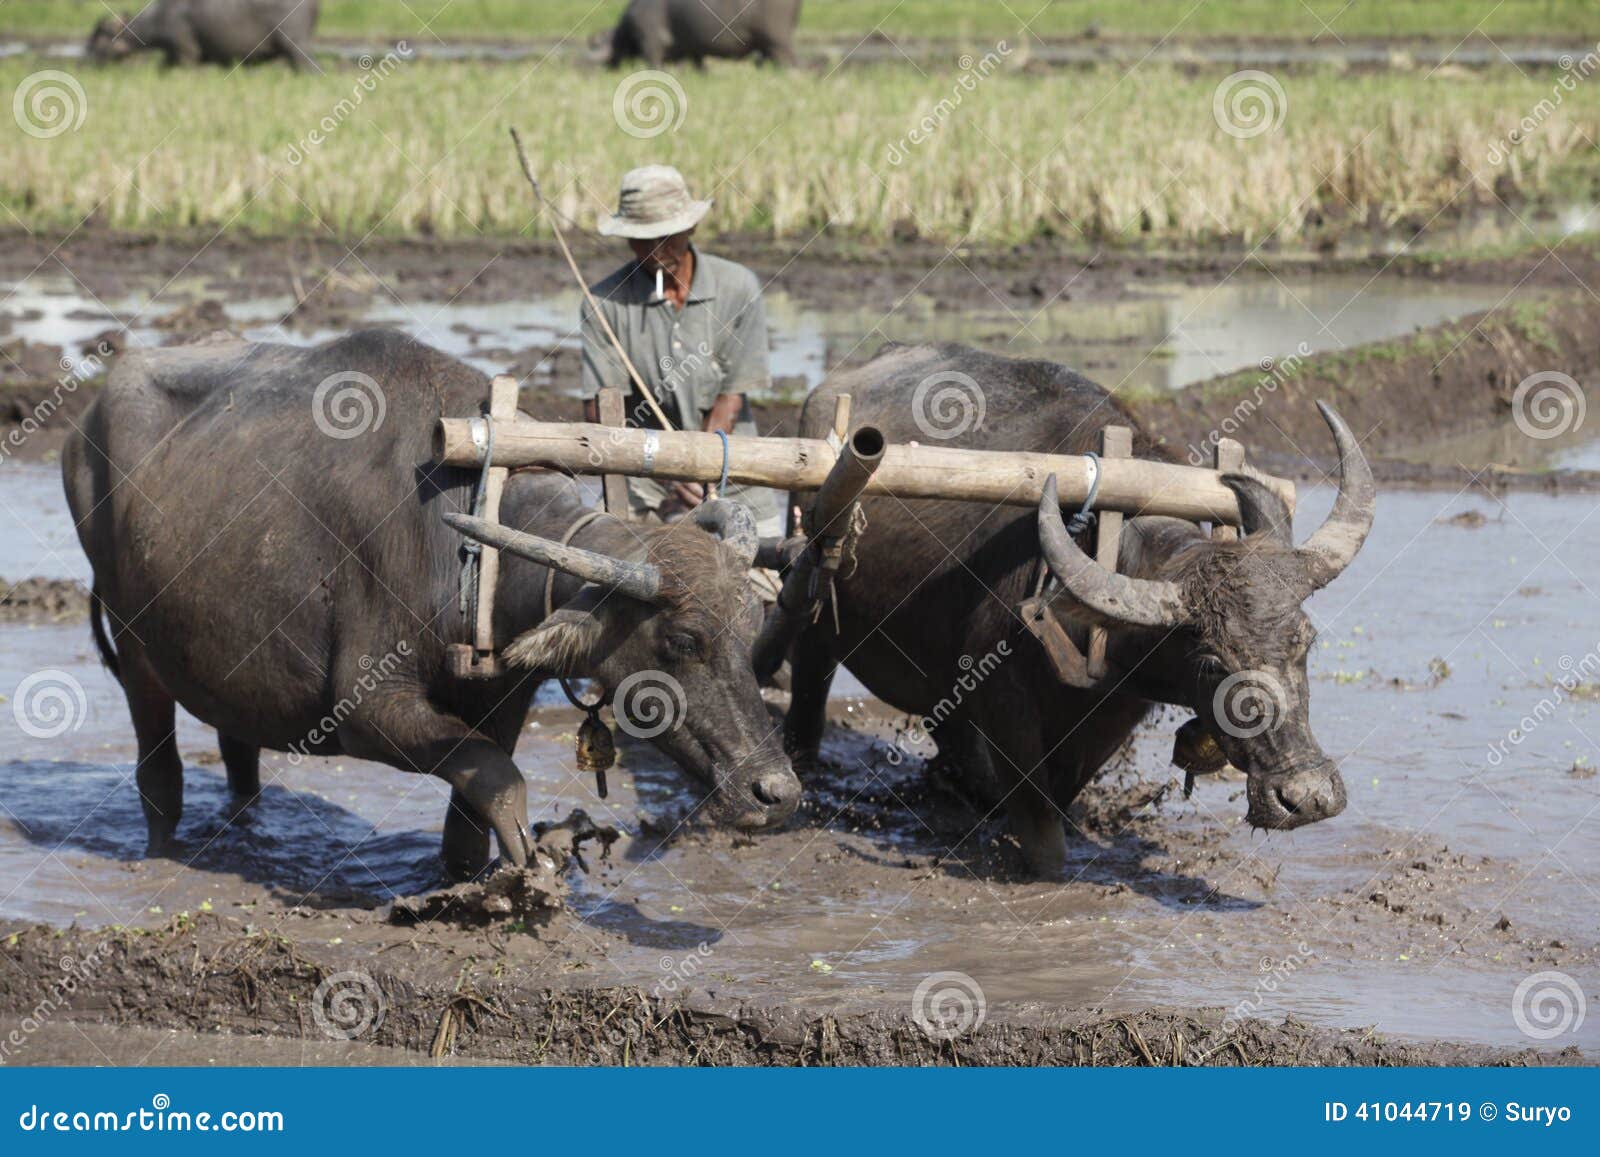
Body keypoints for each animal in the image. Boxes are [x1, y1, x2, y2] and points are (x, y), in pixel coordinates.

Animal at [64, 330, 799, 880]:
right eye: (683, 640)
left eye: (752, 633)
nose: (777, 792)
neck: (471, 549)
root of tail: (86, 424)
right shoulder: (364, 712)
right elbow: (499, 778)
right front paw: (530, 862)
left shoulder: (504, 699)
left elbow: (472, 807)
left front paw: (466, 882)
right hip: (136, 652)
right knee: (159, 774)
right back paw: (162, 851)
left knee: (238, 752)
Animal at [87, 0, 320, 70]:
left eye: (100, 35)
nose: (84, 61)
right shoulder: (172, 54)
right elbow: (163, 67)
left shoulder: (186, 51)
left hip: (296, 45)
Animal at [783, 343, 1375, 874]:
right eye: (1211, 664)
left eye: (1305, 643)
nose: (1308, 796)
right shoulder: (1000, 698)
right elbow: (1043, 832)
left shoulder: (1113, 712)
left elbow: (1061, 790)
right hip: (814, 581)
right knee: (809, 673)